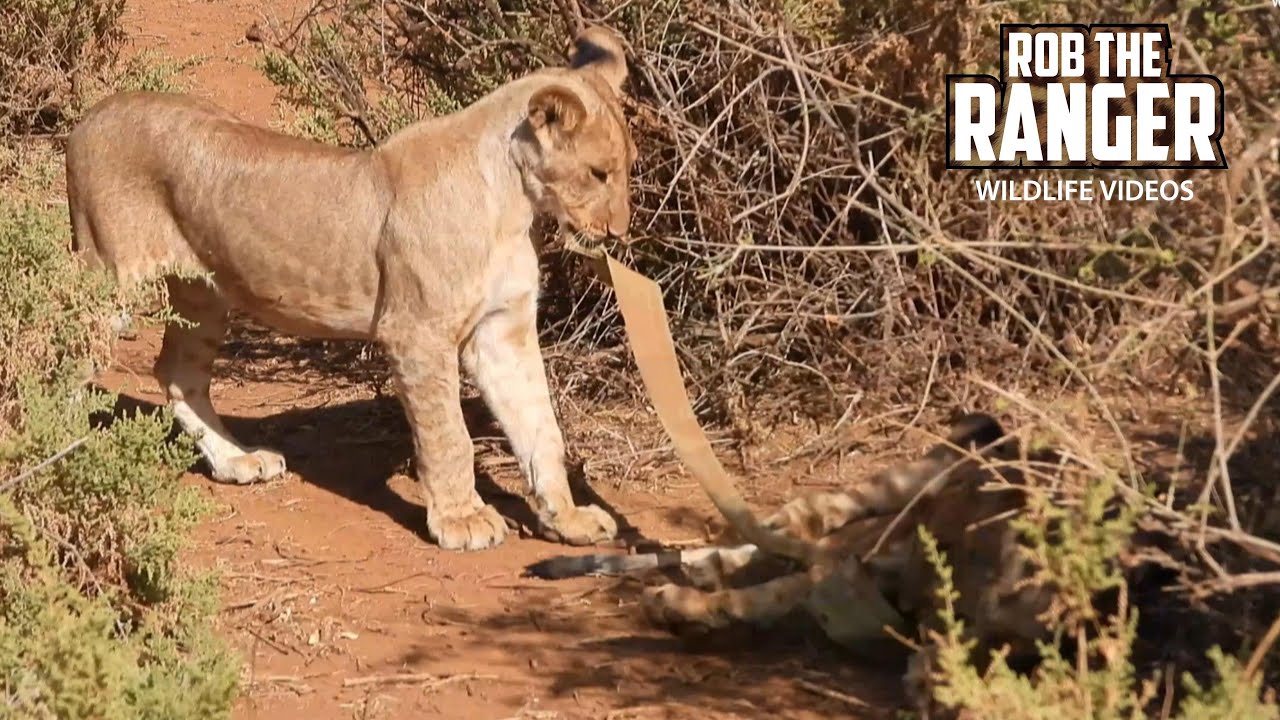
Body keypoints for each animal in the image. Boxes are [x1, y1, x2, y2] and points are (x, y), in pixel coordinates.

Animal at [65, 26, 635, 552]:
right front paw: (462, 521)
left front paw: (568, 518)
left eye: (627, 168)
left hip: (203, 293)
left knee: (177, 374)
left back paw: (238, 460)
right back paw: (61, 453)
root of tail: (92, 114)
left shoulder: (503, 329)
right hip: (109, 274)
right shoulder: (416, 333)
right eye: (598, 173)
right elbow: (449, 435)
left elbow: (540, 426)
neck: (514, 205)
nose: (617, 233)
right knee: (65, 353)